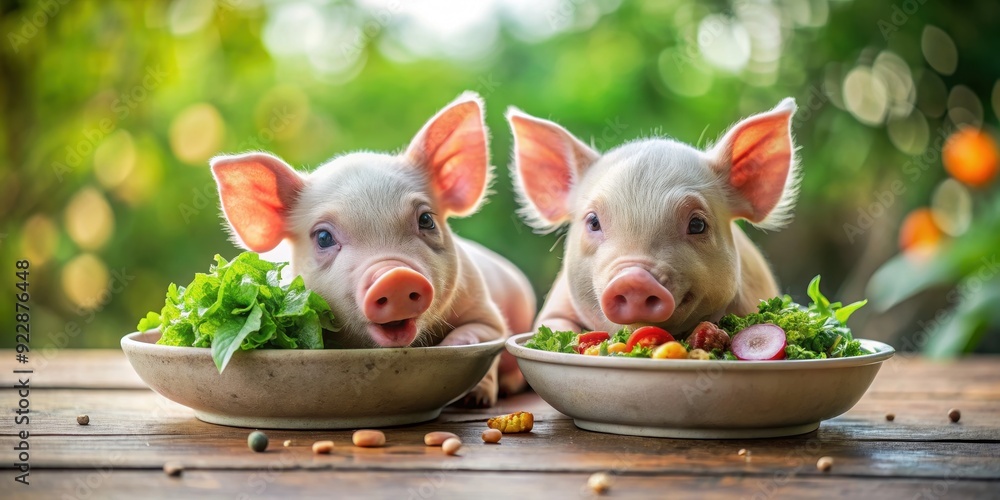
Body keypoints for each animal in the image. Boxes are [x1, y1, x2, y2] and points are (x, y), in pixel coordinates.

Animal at [210, 92, 536, 406]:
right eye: (323, 237)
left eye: (427, 219)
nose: (395, 277)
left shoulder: (487, 312)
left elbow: (483, 338)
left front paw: (473, 394)